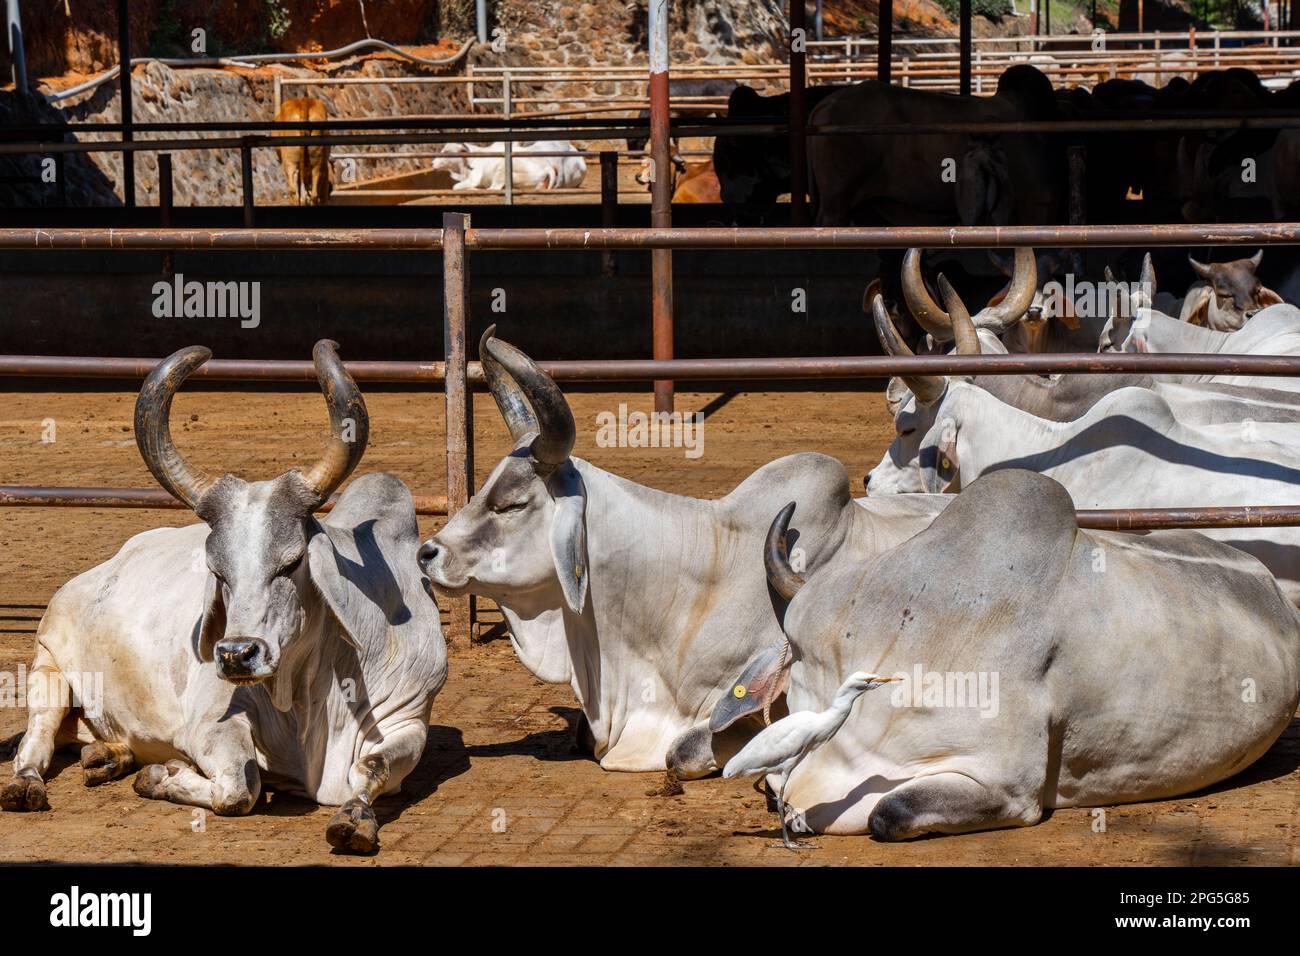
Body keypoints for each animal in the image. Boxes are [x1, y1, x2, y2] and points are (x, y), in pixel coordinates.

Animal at [1, 342, 447, 854]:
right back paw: (29, 783)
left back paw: (107, 757)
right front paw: (161, 776)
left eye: (292, 561)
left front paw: (356, 819)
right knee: (36, 739)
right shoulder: (211, 722)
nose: (236, 654)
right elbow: (240, 787)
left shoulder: (409, 721)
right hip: (47, 665)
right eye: (216, 570)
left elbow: (370, 768)